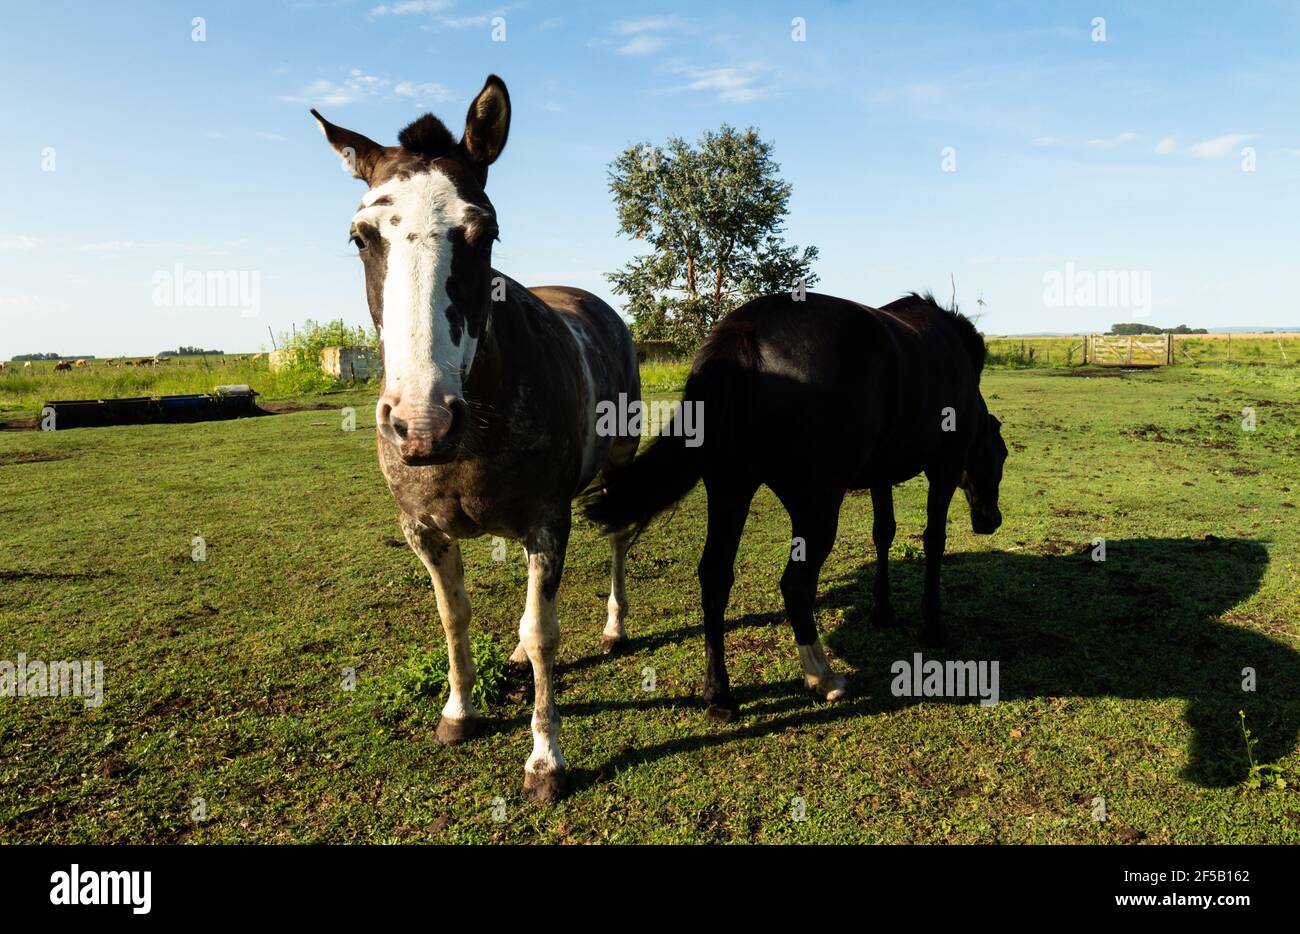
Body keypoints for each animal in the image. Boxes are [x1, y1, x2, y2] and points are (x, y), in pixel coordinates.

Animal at [312, 75, 640, 803]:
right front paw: (458, 713)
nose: (422, 423)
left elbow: (544, 631)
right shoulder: (423, 532)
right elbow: (455, 615)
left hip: (616, 470)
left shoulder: (548, 521)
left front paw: (545, 761)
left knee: (617, 541)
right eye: (360, 237)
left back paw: (613, 627)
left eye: (483, 232)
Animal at [585, 291, 1008, 722]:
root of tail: (746, 331)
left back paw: (720, 695)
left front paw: (883, 610)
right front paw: (933, 624)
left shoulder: (881, 474)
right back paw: (822, 675)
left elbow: (884, 534)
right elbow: (933, 539)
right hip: (816, 507)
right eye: (1002, 455)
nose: (991, 520)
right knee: (794, 583)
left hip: (730, 490)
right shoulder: (946, 465)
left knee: (715, 576)